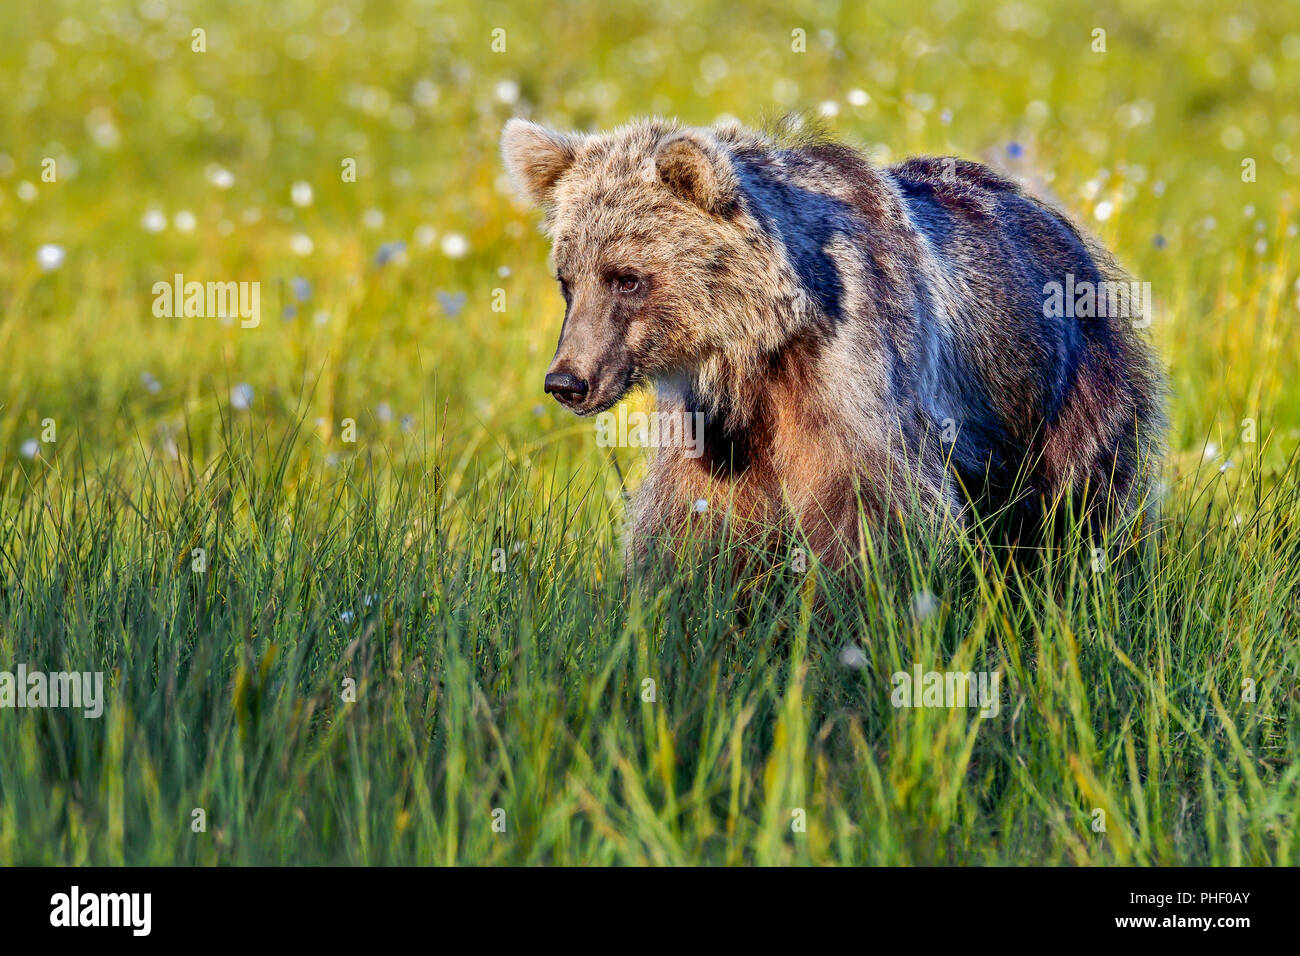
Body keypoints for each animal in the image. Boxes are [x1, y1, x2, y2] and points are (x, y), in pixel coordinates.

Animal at [501, 116, 1165, 569]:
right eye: (567, 279)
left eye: (627, 278)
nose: (567, 380)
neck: (762, 346)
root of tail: (1051, 214)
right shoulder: (718, 431)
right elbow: (696, 522)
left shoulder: (854, 384)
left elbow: (868, 518)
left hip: (1059, 386)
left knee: (1071, 508)